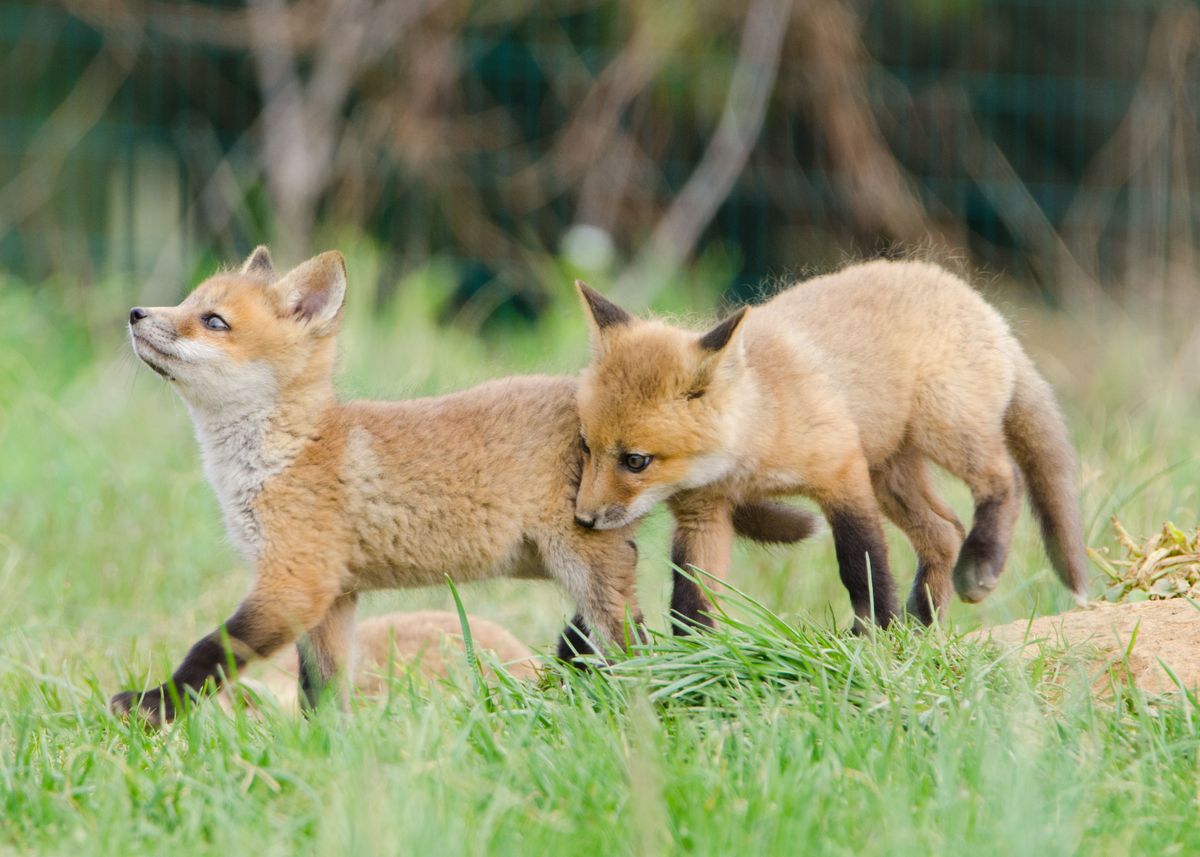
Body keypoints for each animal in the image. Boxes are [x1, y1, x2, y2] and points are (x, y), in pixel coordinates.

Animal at [113, 246, 816, 724]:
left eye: (213, 321)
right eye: (189, 302)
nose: (137, 312)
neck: (284, 453)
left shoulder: (294, 581)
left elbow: (211, 649)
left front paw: (153, 706)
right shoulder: (331, 597)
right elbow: (323, 690)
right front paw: (327, 750)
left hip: (586, 568)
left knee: (634, 646)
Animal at [571, 259, 1090, 629]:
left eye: (635, 461)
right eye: (586, 448)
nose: (584, 519)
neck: (756, 438)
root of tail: (978, 303)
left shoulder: (842, 474)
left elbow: (861, 564)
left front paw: (875, 631)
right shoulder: (704, 513)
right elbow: (691, 596)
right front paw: (695, 659)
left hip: (944, 430)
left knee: (1004, 479)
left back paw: (979, 564)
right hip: (891, 474)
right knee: (945, 533)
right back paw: (924, 625)